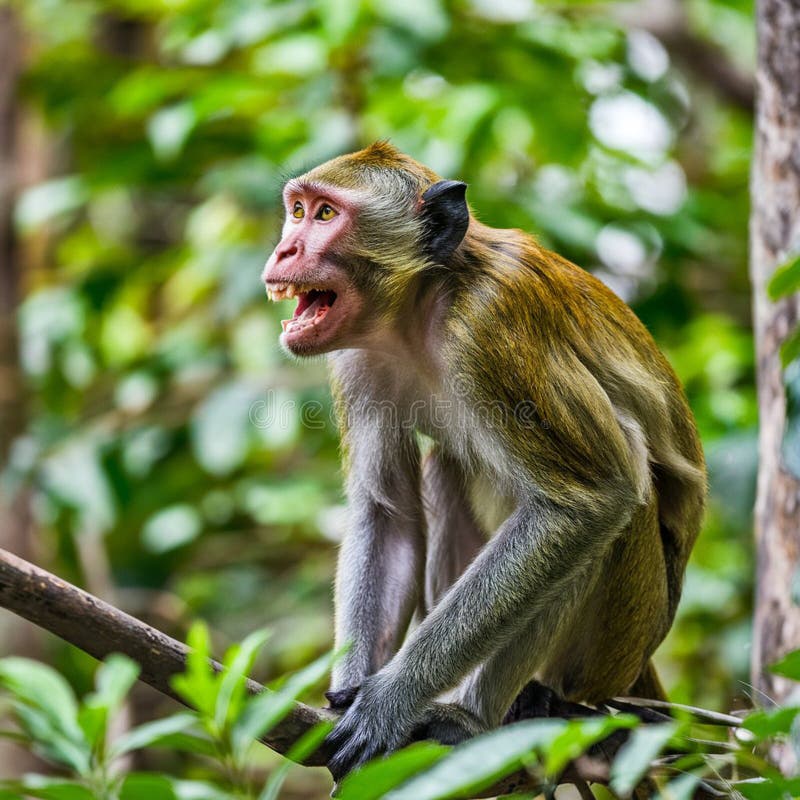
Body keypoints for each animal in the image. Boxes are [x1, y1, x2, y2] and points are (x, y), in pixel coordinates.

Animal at [261, 142, 706, 779]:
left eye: (325, 215)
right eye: (296, 211)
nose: (284, 249)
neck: (421, 305)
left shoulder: (491, 323)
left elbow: (587, 502)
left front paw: (389, 701)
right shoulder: (357, 360)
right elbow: (388, 514)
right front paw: (350, 692)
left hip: (621, 643)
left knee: (609, 499)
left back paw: (481, 717)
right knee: (450, 467)